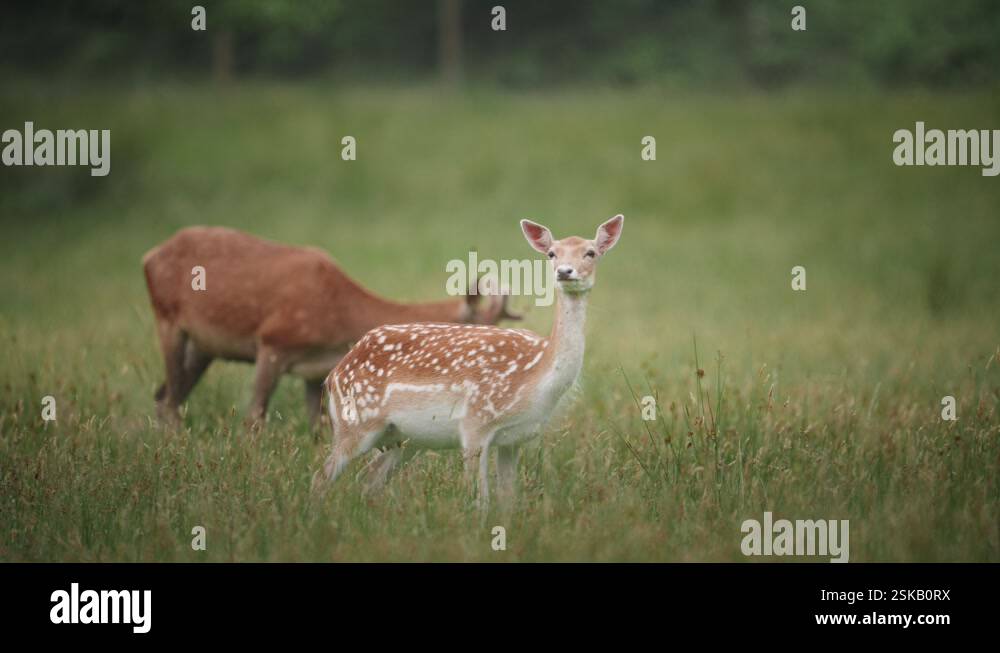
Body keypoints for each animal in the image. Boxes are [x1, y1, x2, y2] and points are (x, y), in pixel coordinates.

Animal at [142, 226, 518, 427]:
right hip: (167, 319)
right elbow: (254, 417)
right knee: (170, 398)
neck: (339, 320)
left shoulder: (314, 372)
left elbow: (317, 426)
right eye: (471, 330)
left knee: (163, 395)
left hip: (203, 347)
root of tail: (150, 256)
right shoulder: (273, 341)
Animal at [315, 215, 623, 507]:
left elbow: (508, 499)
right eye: (552, 253)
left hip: (403, 440)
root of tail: (334, 374)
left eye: (591, 252)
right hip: (355, 422)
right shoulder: (475, 423)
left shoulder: (514, 439)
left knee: (368, 480)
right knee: (322, 476)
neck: (536, 375)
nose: (564, 271)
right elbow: (479, 500)